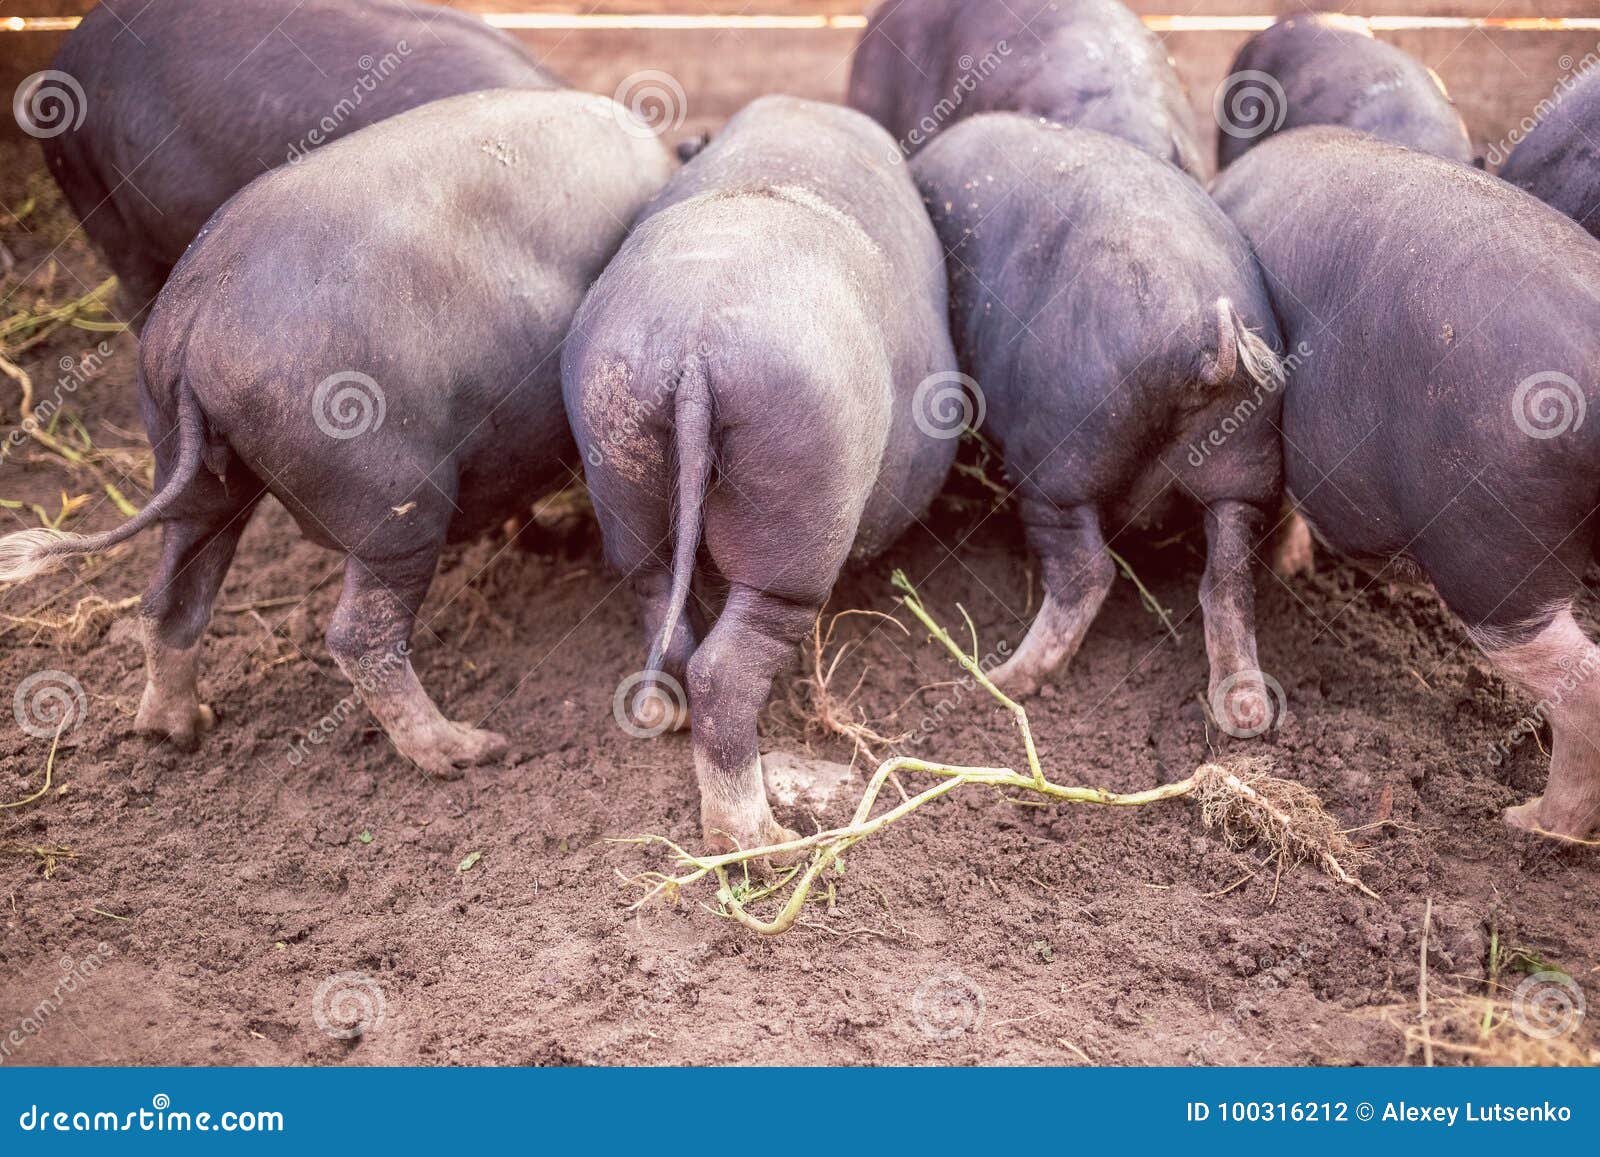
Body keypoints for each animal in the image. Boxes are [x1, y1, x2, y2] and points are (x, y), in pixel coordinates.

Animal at [0, 89, 672, 777]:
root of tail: (197, 326)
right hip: (393, 501)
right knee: (358, 637)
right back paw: (472, 750)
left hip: (190, 466)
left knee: (169, 602)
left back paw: (182, 731)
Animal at [562, 95, 959, 855]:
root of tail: (695, 344)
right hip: (796, 527)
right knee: (726, 668)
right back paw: (760, 841)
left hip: (616, 441)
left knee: (658, 600)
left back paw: (666, 717)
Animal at [912, 114, 1286, 729]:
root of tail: (1204, 342)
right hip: (1245, 465)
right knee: (1229, 581)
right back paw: (1246, 714)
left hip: (1058, 462)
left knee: (1088, 573)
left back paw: (1000, 684)